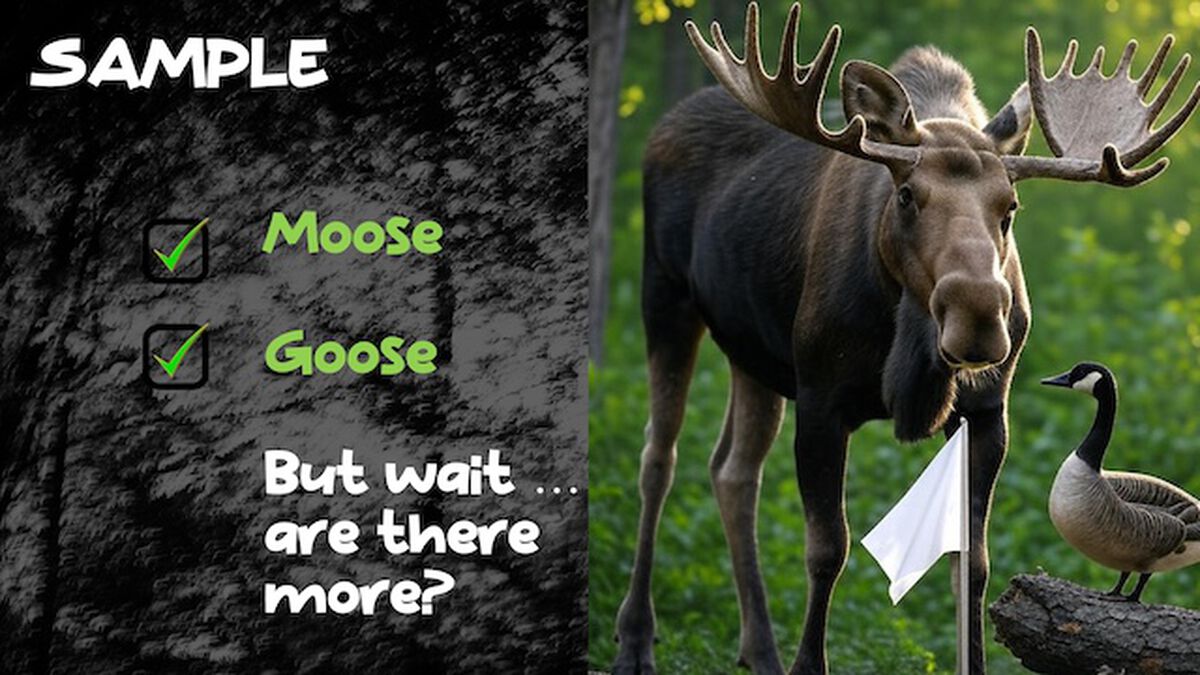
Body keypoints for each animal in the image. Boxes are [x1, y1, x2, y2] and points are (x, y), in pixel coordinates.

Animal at [611, 4, 1200, 674]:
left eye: (1010, 206)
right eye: (906, 194)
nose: (979, 318)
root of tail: (664, 124)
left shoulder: (987, 412)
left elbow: (973, 561)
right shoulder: (821, 399)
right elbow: (828, 549)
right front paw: (809, 662)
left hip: (753, 354)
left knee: (733, 470)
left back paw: (759, 649)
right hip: (664, 296)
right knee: (658, 457)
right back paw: (636, 637)